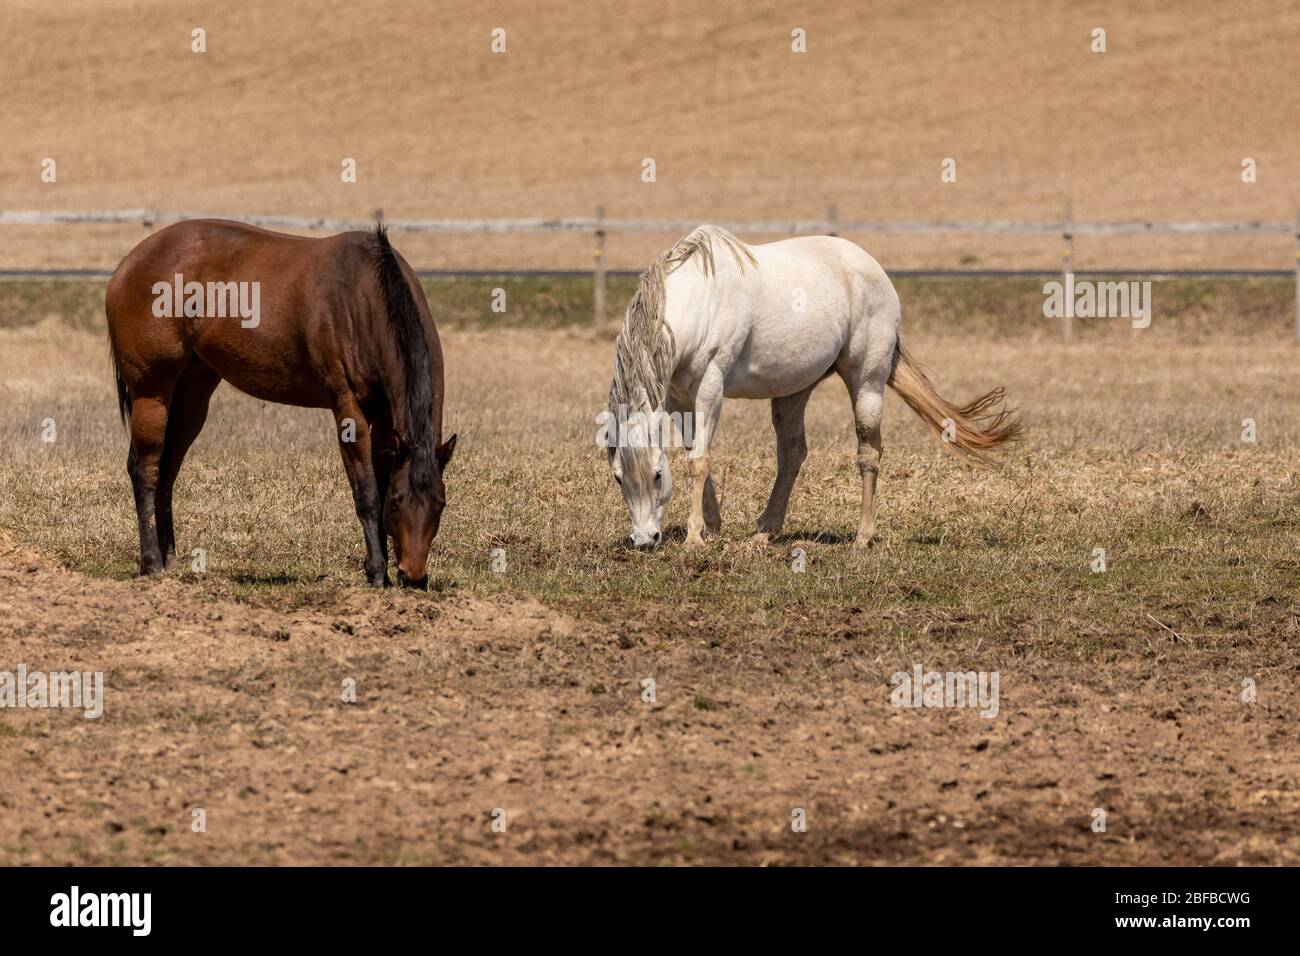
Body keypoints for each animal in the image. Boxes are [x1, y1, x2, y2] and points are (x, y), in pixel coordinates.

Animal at [106, 219, 457, 587]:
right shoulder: (349, 411)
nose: (413, 576)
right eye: (398, 503)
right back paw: (151, 562)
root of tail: (129, 264)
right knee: (145, 469)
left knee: (167, 469)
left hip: (192, 394)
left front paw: (381, 570)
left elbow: (381, 478)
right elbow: (367, 493)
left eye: (440, 504)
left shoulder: (386, 420)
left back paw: (169, 557)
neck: (365, 298)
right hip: (151, 393)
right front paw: (376, 572)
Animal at [604, 225, 1021, 550]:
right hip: (794, 392)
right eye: (618, 477)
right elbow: (697, 453)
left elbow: (699, 460)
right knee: (792, 455)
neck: (700, 299)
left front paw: (694, 538)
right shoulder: (678, 397)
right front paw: (712, 526)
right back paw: (766, 531)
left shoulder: (711, 384)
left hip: (867, 380)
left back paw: (863, 537)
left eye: (657, 475)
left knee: (869, 453)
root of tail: (873, 269)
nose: (644, 540)